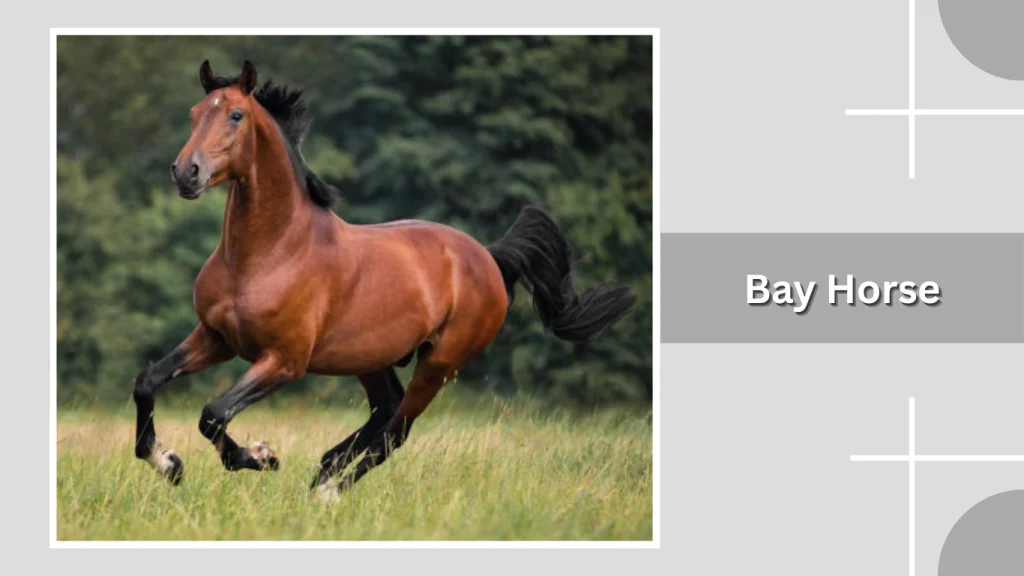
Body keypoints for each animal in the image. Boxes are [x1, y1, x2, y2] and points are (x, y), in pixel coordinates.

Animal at [131, 59, 637, 499]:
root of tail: (489, 258)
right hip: (371, 358)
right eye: (195, 114)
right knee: (385, 411)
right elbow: (149, 382)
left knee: (396, 431)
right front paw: (168, 462)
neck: (267, 253)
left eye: (235, 115)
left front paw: (261, 455)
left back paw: (328, 492)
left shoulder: (284, 361)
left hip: (438, 364)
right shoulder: (216, 337)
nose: (186, 173)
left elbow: (214, 413)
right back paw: (325, 470)